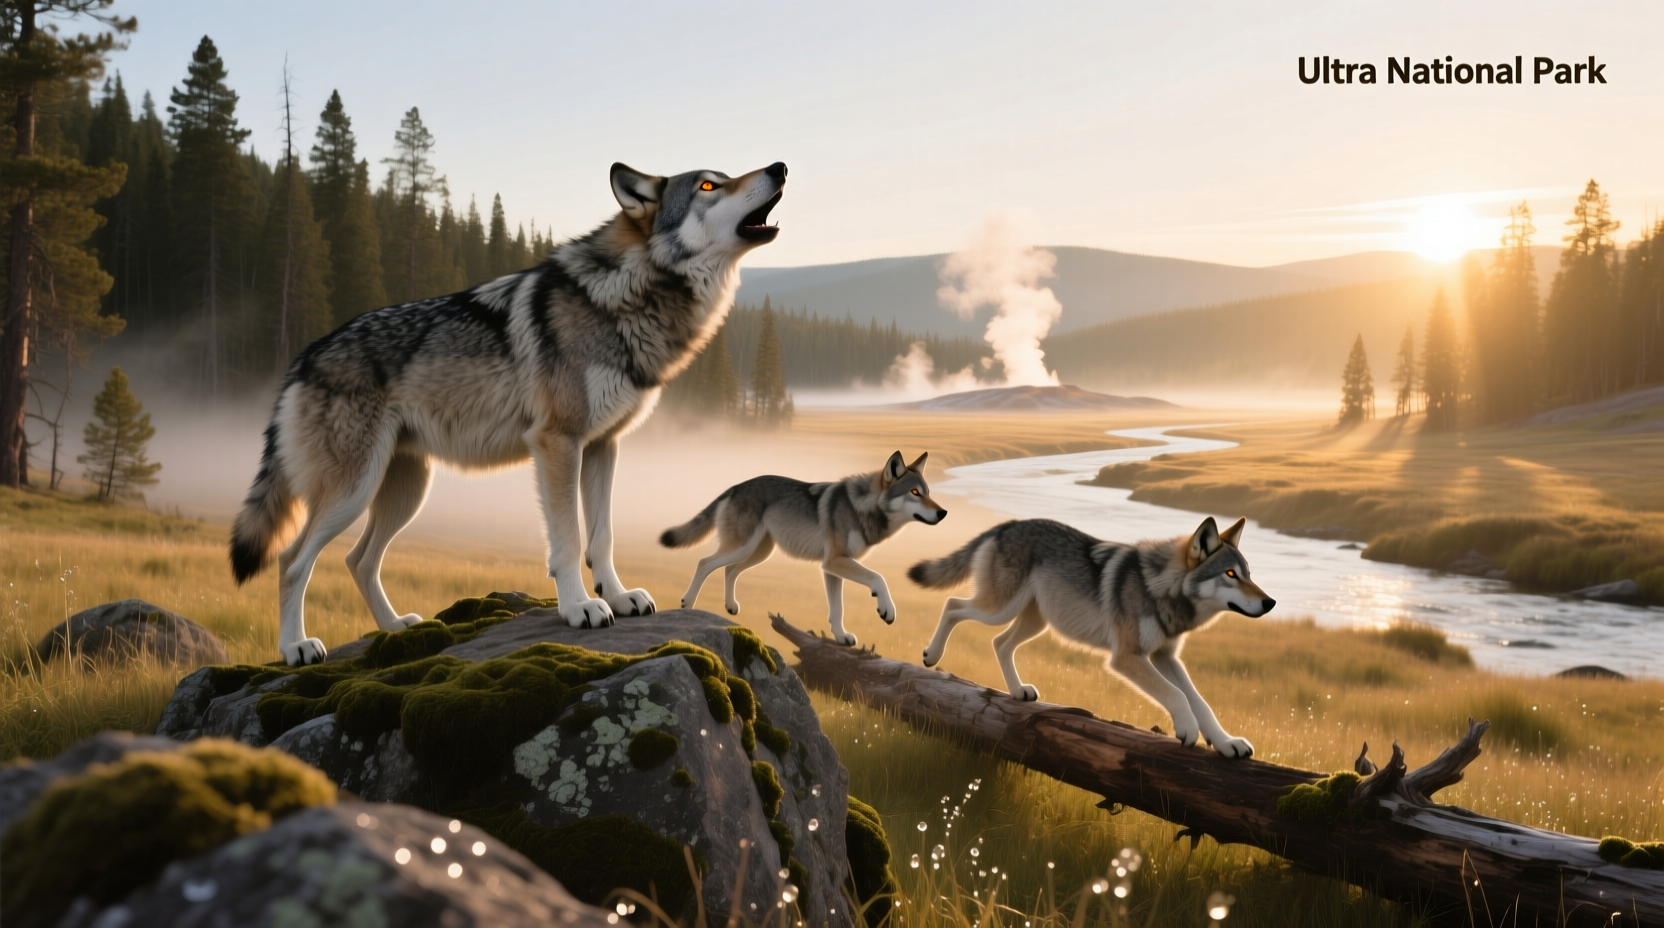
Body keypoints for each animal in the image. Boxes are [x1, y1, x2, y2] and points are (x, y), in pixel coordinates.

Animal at [231, 161, 787, 666]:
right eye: (709, 186)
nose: (780, 167)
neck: (627, 296)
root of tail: (301, 360)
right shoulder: (557, 442)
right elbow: (568, 540)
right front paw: (581, 608)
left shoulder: (602, 446)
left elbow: (602, 537)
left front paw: (618, 596)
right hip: (353, 491)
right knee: (291, 561)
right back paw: (297, 647)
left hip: (405, 492)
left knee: (358, 560)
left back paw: (395, 628)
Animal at [660, 451, 947, 646]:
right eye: (914, 492)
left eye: (928, 492)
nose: (943, 513)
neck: (862, 508)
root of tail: (735, 487)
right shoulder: (835, 561)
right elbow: (878, 578)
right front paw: (886, 609)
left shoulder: (831, 568)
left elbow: (837, 610)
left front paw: (841, 637)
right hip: (743, 547)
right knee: (704, 563)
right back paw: (687, 604)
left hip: (758, 552)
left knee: (729, 570)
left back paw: (731, 607)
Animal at [908, 516, 1274, 758]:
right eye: (1230, 574)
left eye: (1249, 575)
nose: (1270, 602)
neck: (1160, 588)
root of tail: (1006, 524)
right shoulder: (1127, 657)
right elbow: (1177, 696)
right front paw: (1187, 729)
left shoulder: (1165, 657)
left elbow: (1200, 701)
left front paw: (1226, 743)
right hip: (999, 610)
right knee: (953, 605)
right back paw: (931, 655)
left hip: (1035, 622)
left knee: (999, 643)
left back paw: (1017, 691)